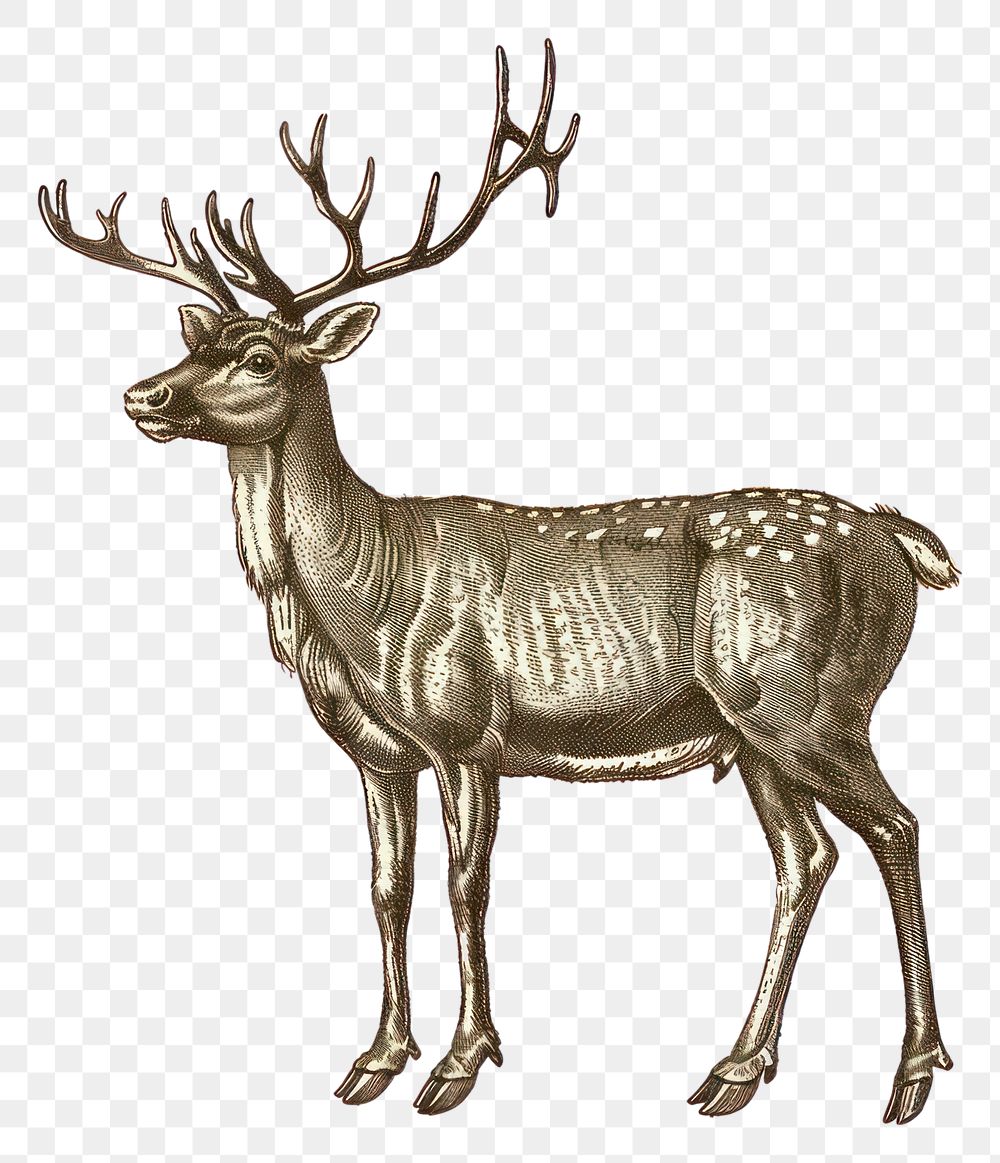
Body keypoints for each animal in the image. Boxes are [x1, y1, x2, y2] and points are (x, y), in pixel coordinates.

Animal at [39, 40, 957, 1123]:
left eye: (259, 354)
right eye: (193, 342)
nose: (142, 394)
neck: (363, 597)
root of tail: (897, 541)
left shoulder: (466, 727)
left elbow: (465, 884)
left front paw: (458, 1062)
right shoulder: (377, 753)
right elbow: (386, 888)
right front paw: (374, 1058)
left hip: (813, 702)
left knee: (896, 825)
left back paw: (910, 1072)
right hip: (756, 733)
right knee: (806, 857)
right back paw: (735, 1068)